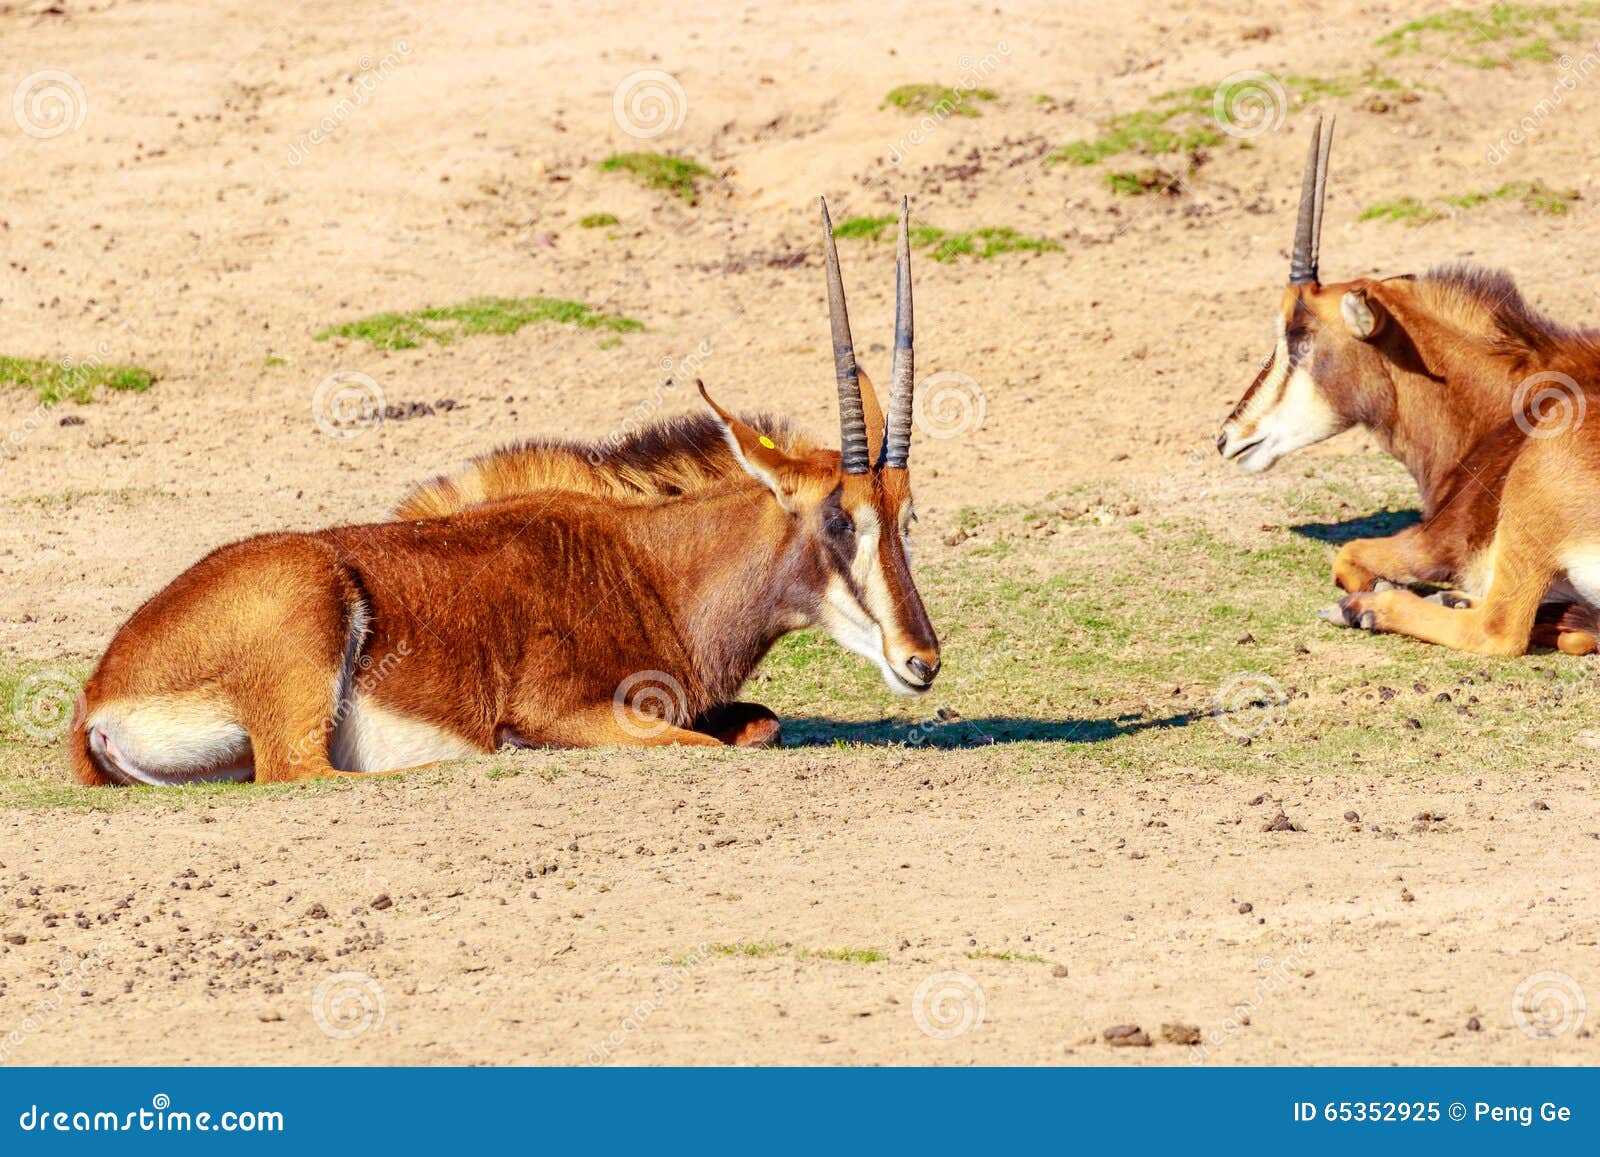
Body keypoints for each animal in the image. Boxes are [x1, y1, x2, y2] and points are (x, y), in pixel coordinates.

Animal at [68, 199, 941, 785]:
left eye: (906, 516)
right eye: (838, 519)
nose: (922, 660)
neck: (652, 568)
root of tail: (100, 692)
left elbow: (762, 726)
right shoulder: (571, 707)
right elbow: (701, 742)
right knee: (309, 771)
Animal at [1217, 115, 1600, 657]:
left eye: (1300, 336)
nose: (1228, 437)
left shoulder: (1434, 541)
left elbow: (1349, 555)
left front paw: (1377, 592)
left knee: (1498, 630)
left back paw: (1366, 610)